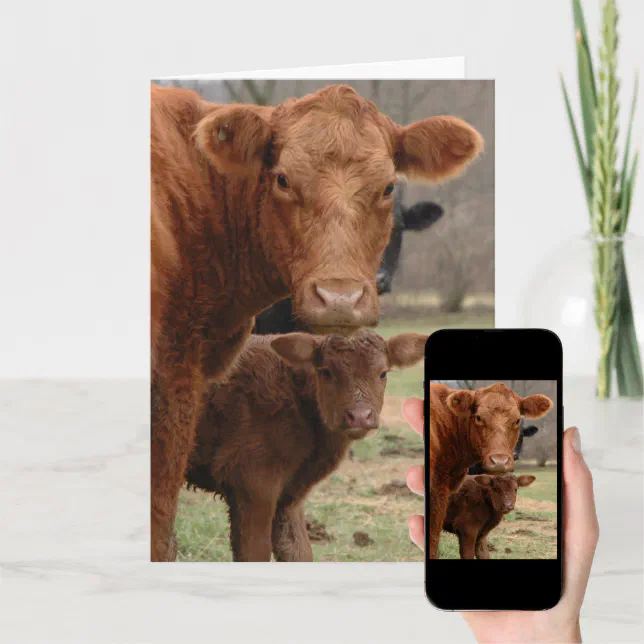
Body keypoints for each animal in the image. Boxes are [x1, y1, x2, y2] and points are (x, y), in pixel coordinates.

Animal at [186, 330, 428, 561]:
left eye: (383, 373)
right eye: (327, 372)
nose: (359, 416)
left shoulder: (290, 495)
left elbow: (298, 551)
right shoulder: (251, 481)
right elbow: (254, 554)